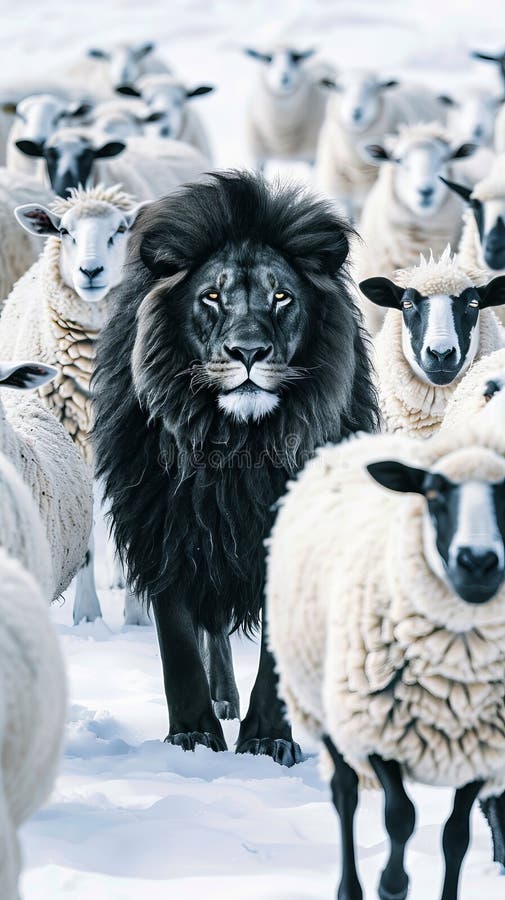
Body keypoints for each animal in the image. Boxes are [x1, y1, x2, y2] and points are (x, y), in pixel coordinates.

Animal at [267, 422, 505, 898]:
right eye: (433, 493)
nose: (478, 563)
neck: (457, 677)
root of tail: (358, 440)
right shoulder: (375, 726)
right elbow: (400, 818)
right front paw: (392, 885)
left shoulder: (481, 748)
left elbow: (456, 836)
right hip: (326, 708)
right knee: (345, 793)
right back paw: (351, 888)